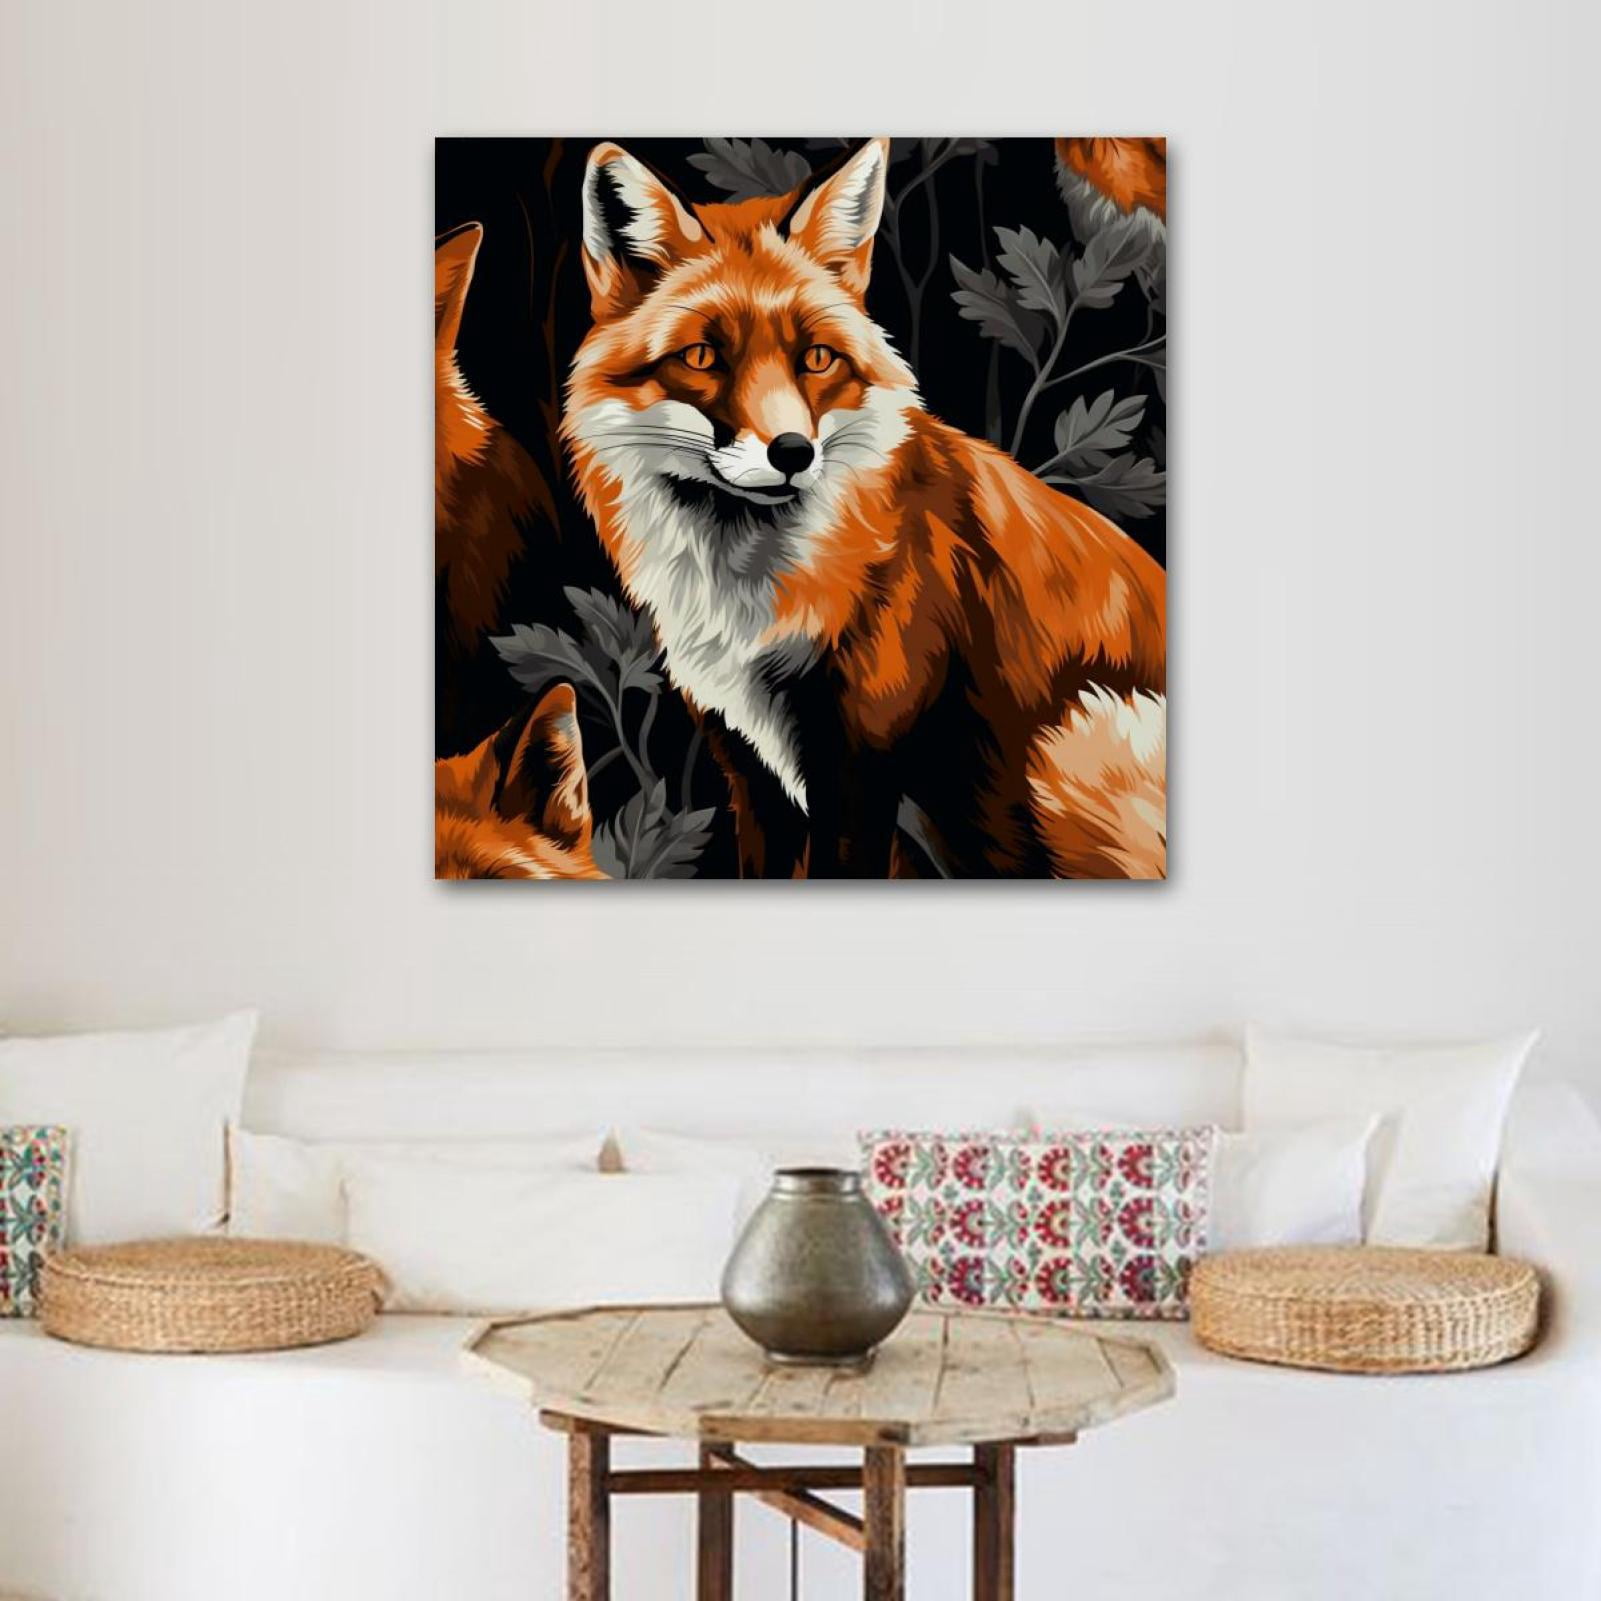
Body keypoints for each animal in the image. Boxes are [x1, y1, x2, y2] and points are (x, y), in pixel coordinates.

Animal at [562, 139, 1165, 879]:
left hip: (1071, 743)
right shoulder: (752, 767)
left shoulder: (861, 767)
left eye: (817, 358)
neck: (755, 603)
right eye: (702, 356)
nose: (793, 451)